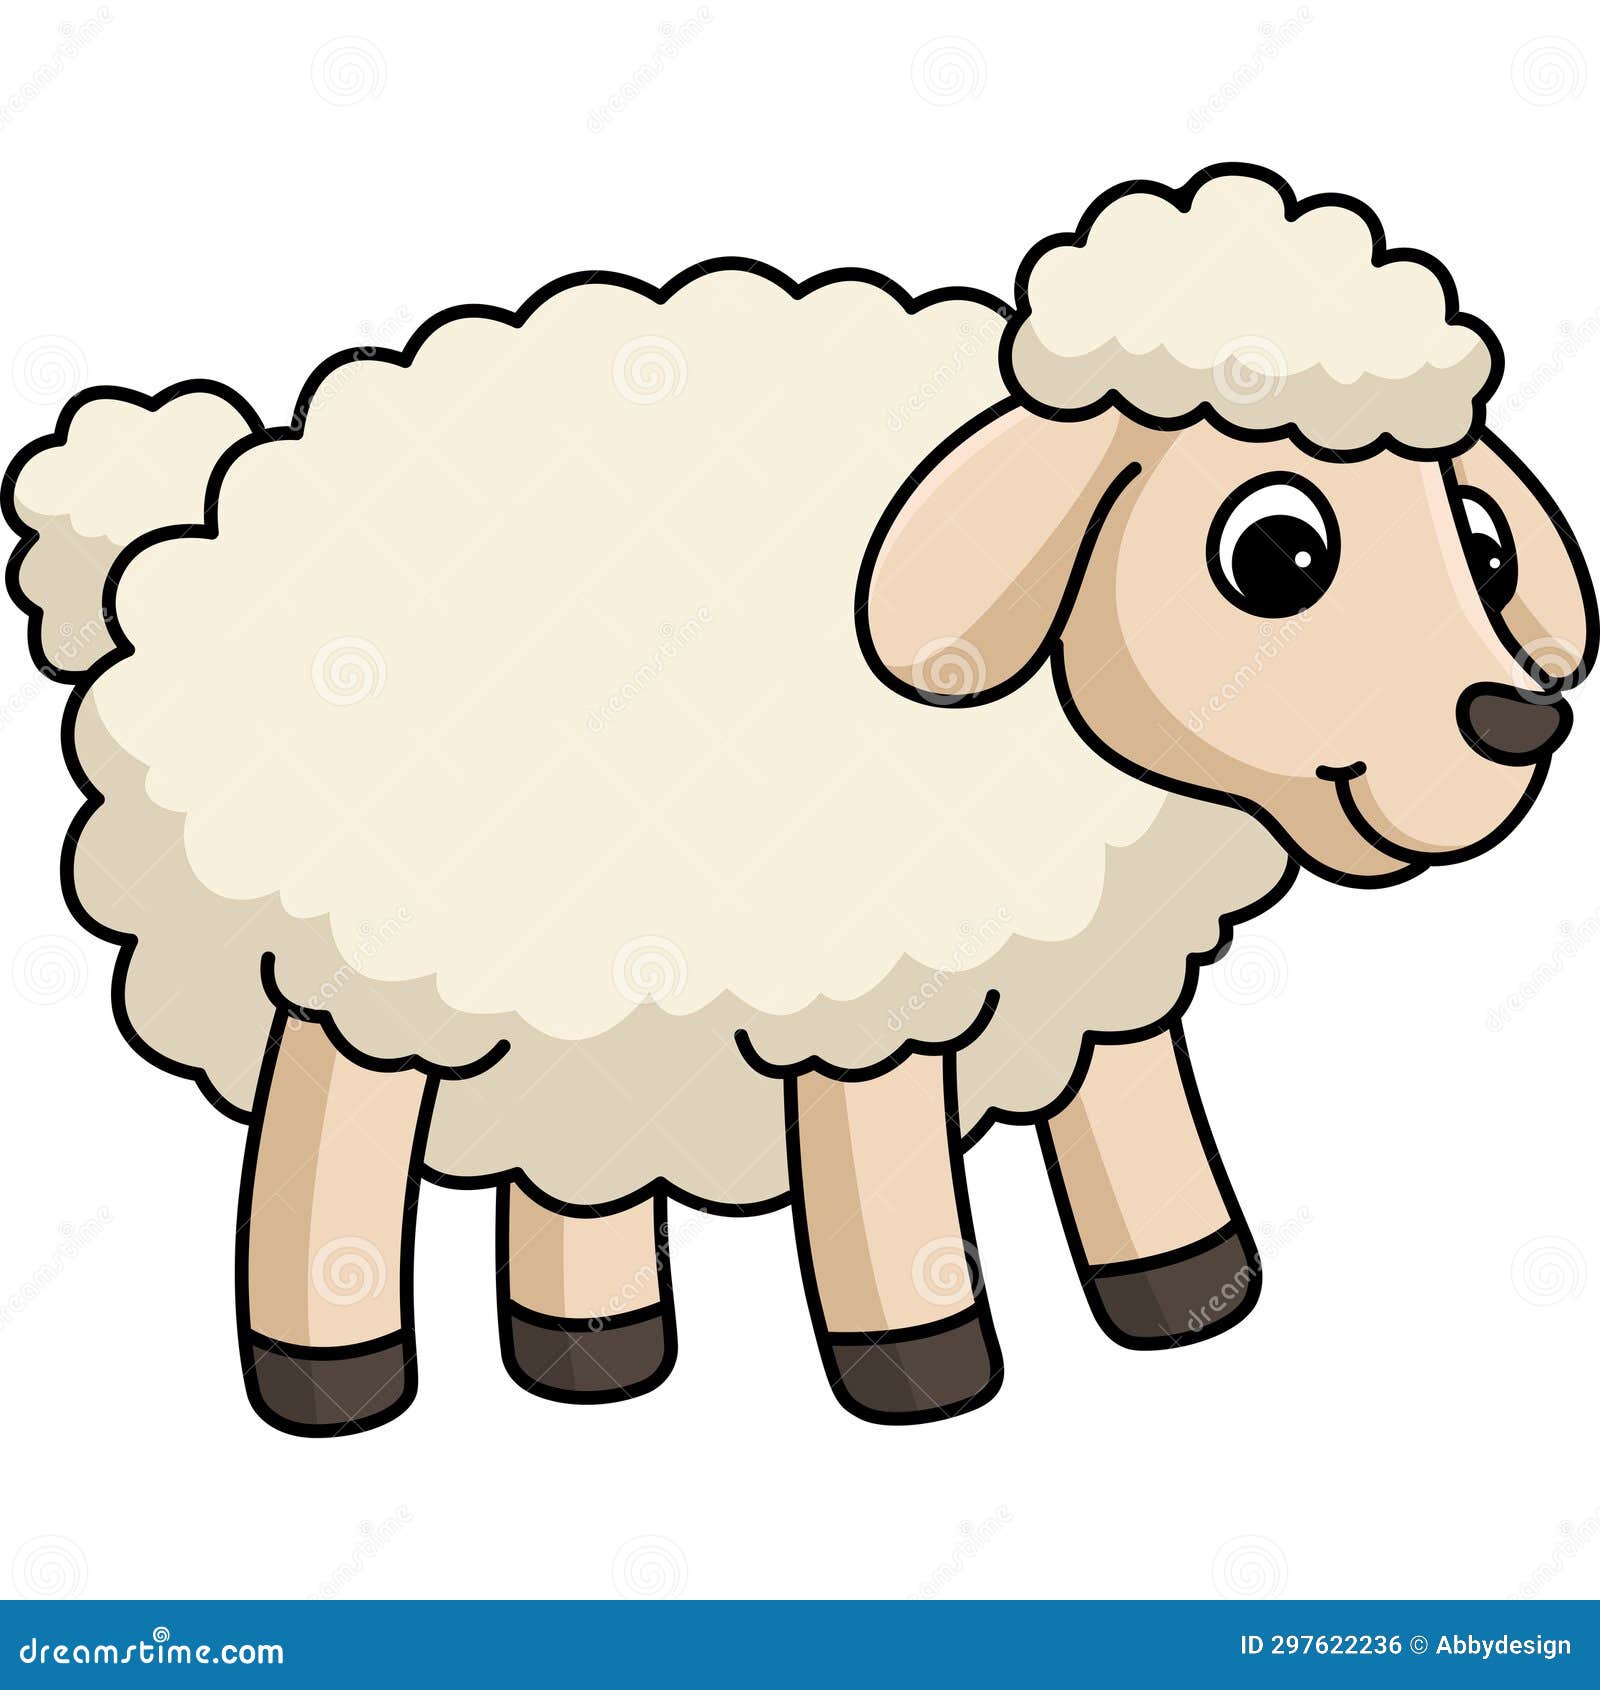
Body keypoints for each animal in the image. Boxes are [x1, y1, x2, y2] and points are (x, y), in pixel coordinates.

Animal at [6, 164, 1592, 1436]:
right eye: (1276, 553)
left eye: (1487, 544)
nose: (1519, 716)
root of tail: (176, 530)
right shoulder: (869, 983)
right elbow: (885, 1181)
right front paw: (925, 1368)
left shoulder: (1095, 966)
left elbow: (1138, 1124)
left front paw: (1188, 1293)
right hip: (362, 964)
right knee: (325, 1145)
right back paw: (331, 1378)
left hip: (582, 993)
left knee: (573, 1175)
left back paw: (591, 1354)